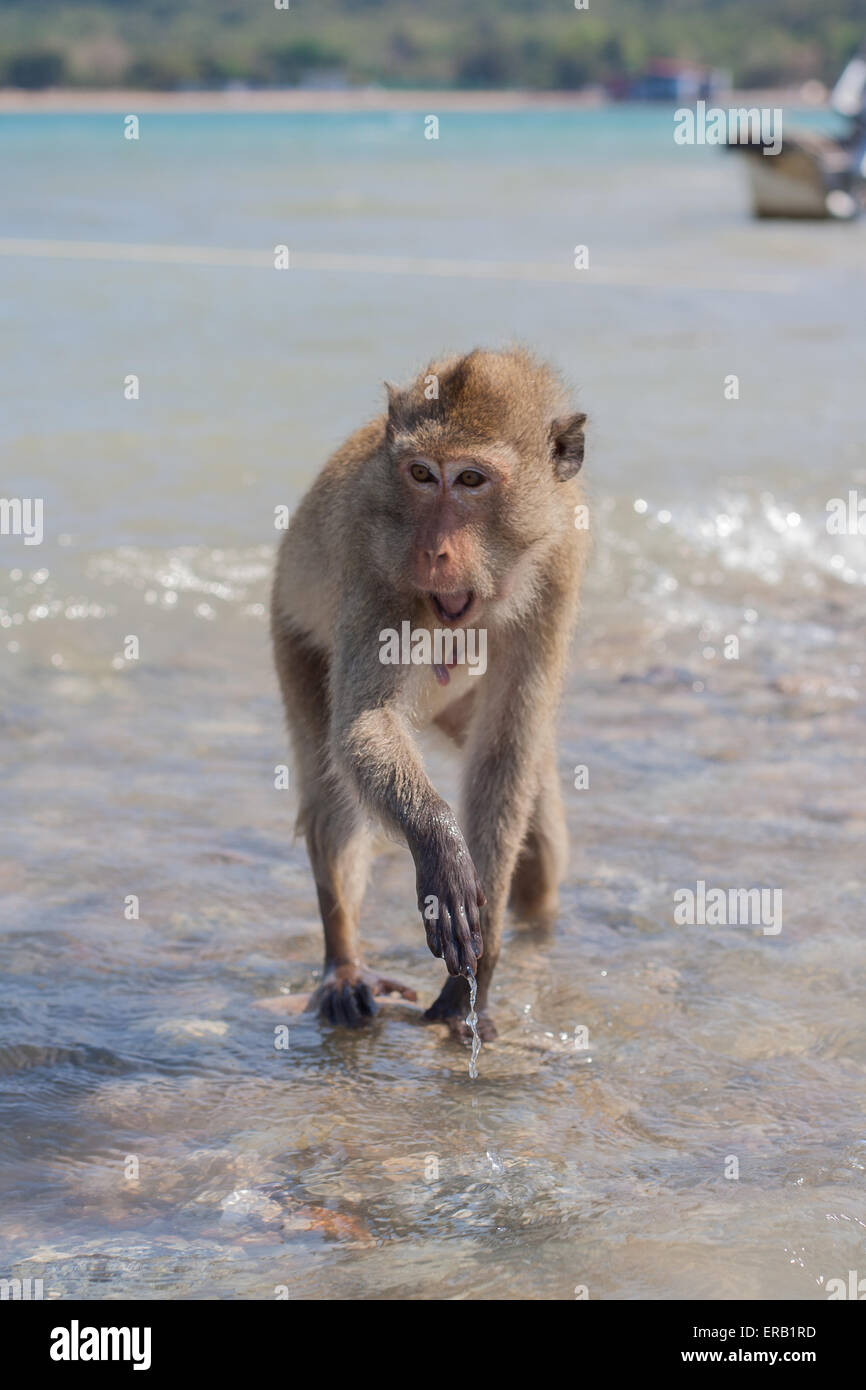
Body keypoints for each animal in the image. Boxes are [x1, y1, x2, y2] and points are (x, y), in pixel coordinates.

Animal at [270, 347, 587, 1041]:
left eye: (469, 480)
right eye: (421, 474)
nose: (433, 551)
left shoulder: (562, 561)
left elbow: (506, 752)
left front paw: (480, 974)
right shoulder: (371, 555)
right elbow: (362, 727)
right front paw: (439, 845)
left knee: (538, 836)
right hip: (293, 637)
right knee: (332, 786)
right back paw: (343, 962)